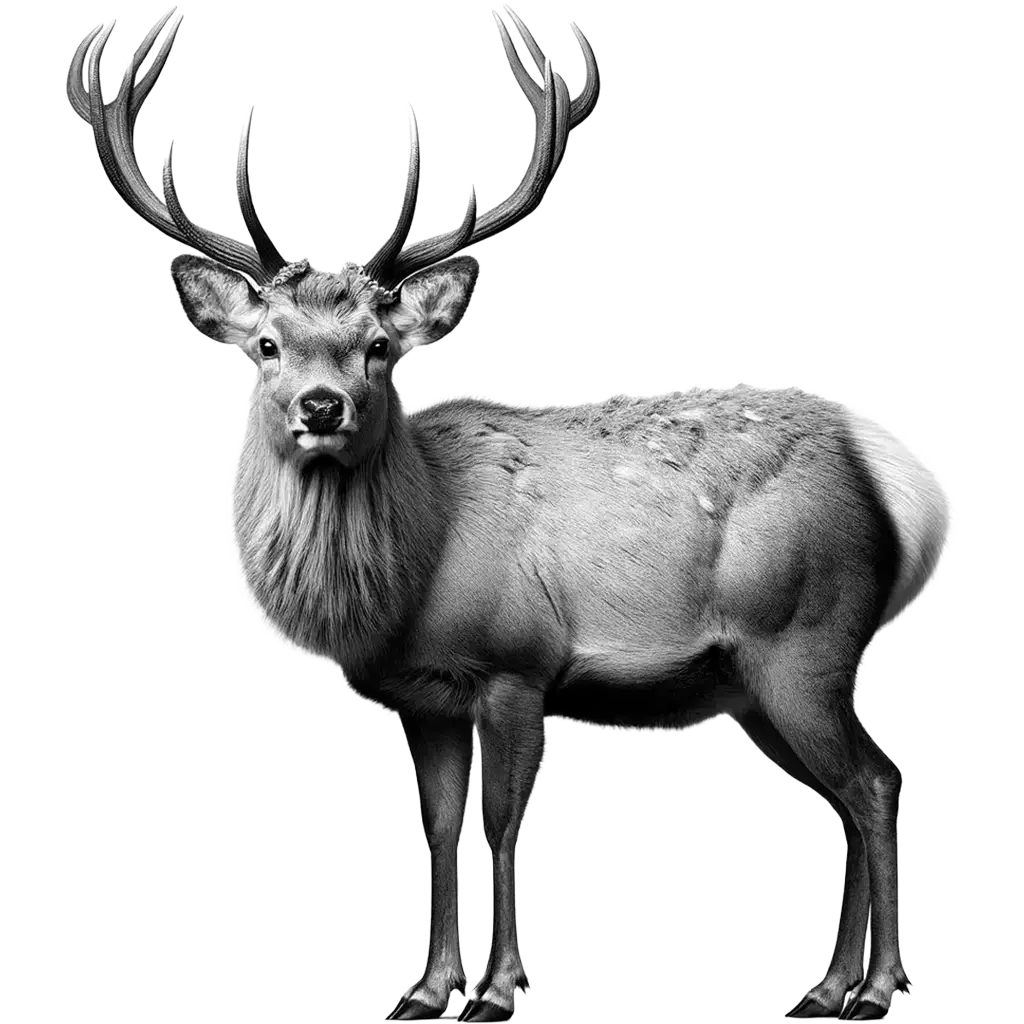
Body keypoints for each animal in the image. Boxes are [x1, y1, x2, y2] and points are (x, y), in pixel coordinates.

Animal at [66, 7, 952, 1022]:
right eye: (266, 344)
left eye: (380, 346)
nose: (323, 407)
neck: (413, 579)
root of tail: (895, 483)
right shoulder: (425, 696)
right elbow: (439, 826)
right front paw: (424, 989)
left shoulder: (520, 664)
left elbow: (500, 822)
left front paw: (495, 990)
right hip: (756, 683)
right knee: (846, 792)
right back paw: (825, 986)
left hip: (807, 637)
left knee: (876, 781)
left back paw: (876, 988)